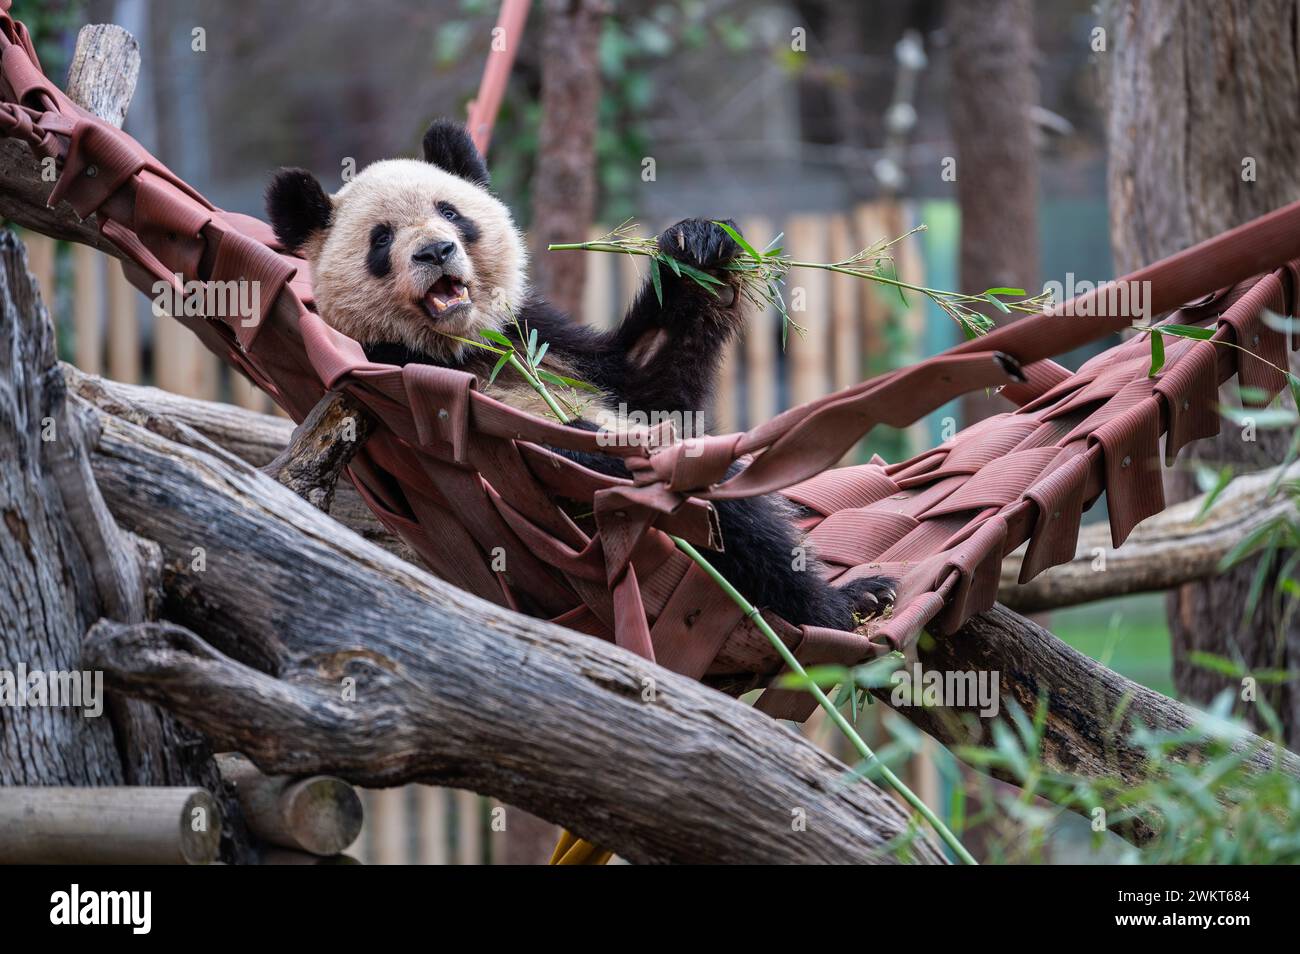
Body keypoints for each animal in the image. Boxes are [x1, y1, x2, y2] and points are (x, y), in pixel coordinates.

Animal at [266, 118, 895, 632]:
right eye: (382, 238)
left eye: (450, 213)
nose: (436, 251)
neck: (462, 345)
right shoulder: (400, 371)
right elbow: (561, 449)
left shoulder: (535, 335)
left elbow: (650, 386)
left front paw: (700, 245)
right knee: (734, 519)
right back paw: (842, 605)